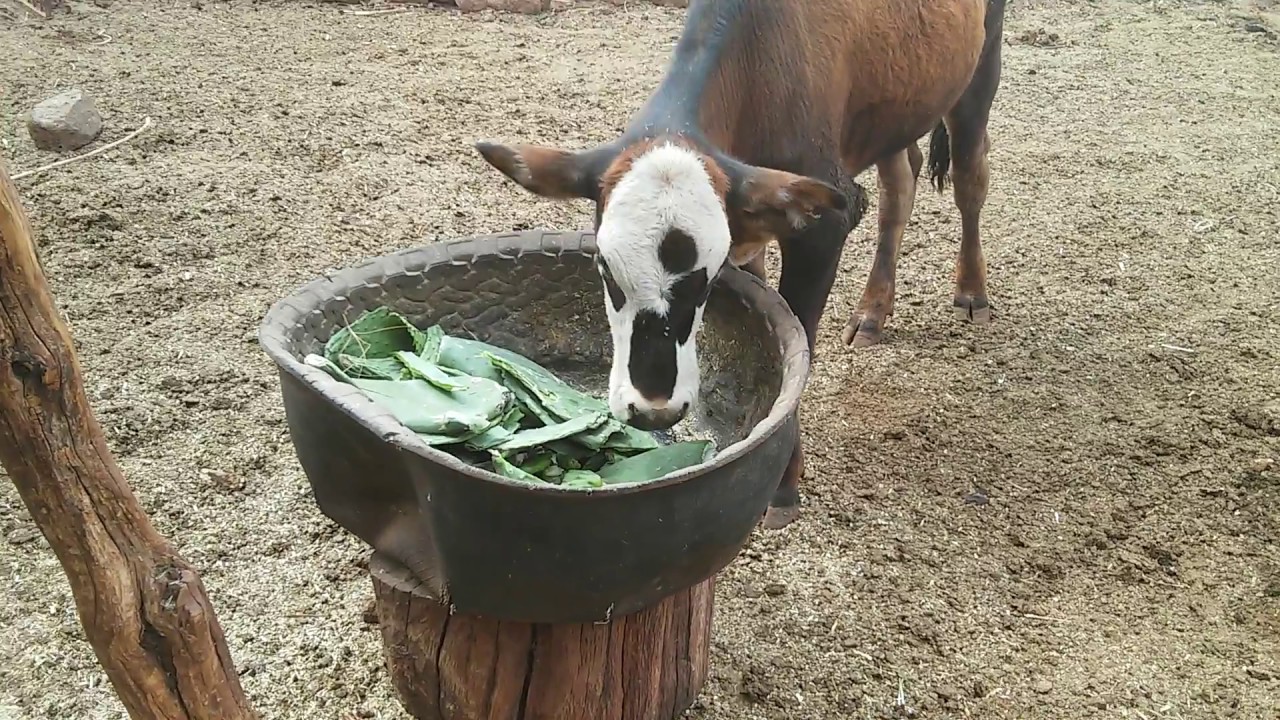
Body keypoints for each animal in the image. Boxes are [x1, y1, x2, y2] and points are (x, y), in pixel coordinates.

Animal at [475, 0, 1008, 528]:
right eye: (605, 268)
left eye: (707, 282)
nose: (652, 409)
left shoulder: (823, 224)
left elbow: (797, 348)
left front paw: (785, 483)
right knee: (901, 180)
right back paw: (873, 312)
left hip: (980, 71)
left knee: (969, 172)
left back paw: (972, 292)